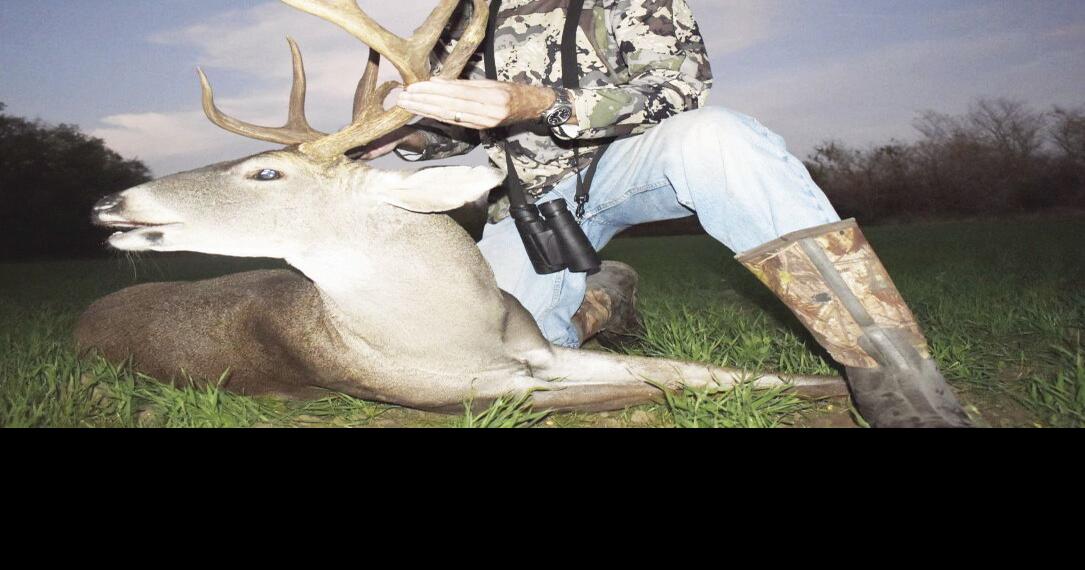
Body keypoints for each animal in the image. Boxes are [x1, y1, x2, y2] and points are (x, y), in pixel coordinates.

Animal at [75, 0, 848, 414]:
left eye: (266, 172)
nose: (108, 201)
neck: (460, 334)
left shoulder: (539, 349)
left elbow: (693, 372)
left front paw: (844, 378)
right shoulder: (456, 392)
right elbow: (642, 390)